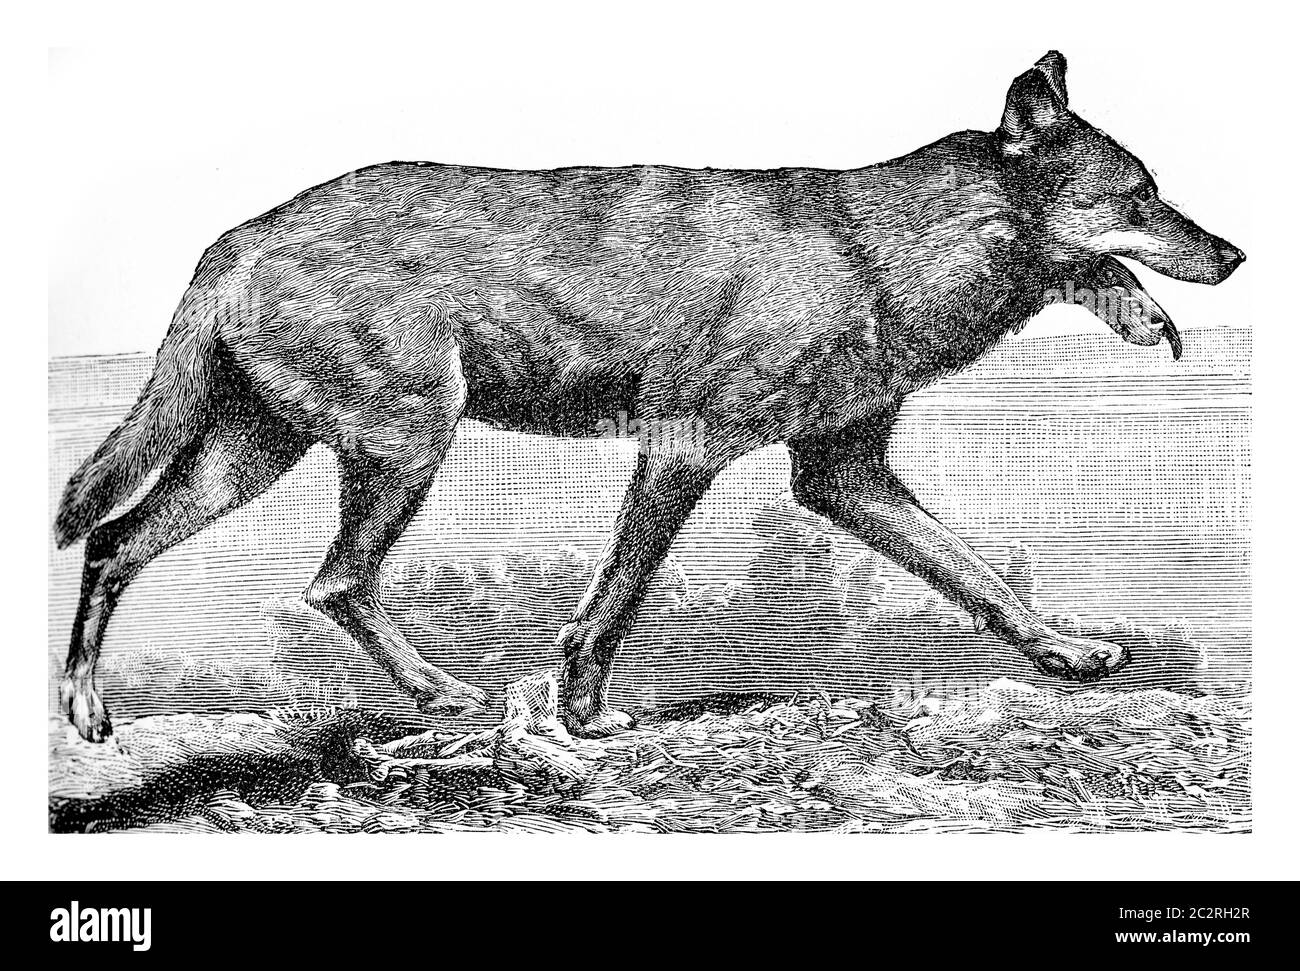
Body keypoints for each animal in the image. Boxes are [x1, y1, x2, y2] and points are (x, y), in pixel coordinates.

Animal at [55, 52, 1243, 742]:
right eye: (1141, 195)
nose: (1233, 253)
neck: (874, 251)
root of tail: (241, 233)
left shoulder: (844, 476)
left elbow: (979, 576)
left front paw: (1066, 655)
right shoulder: (684, 448)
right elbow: (613, 601)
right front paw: (581, 713)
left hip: (259, 454)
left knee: (115, 544)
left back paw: (84, 708)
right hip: (402, 444)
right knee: (331, 578)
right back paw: (439, 694)